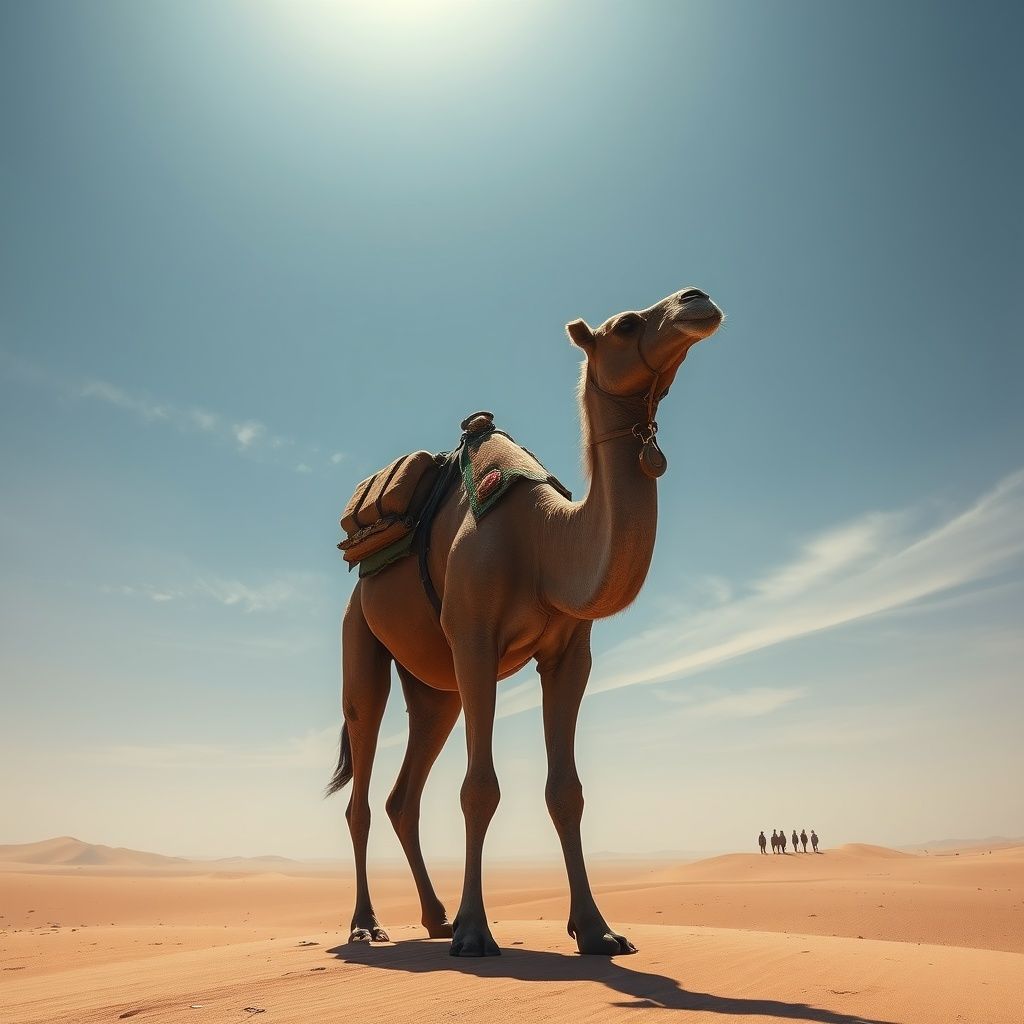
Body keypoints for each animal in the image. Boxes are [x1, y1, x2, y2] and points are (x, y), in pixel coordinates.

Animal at [328, 286, 724, 957]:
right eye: (625, 324)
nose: (698, 300)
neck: (546, 541)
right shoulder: (474, 639)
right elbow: (479, 788)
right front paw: (475, 931)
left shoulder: (568, 654)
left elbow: (566, 791)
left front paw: (596, 929)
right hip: (361, 638)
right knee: (362, 770)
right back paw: (367, 923)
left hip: (434, 689)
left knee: (404, 794)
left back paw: (433, 917)